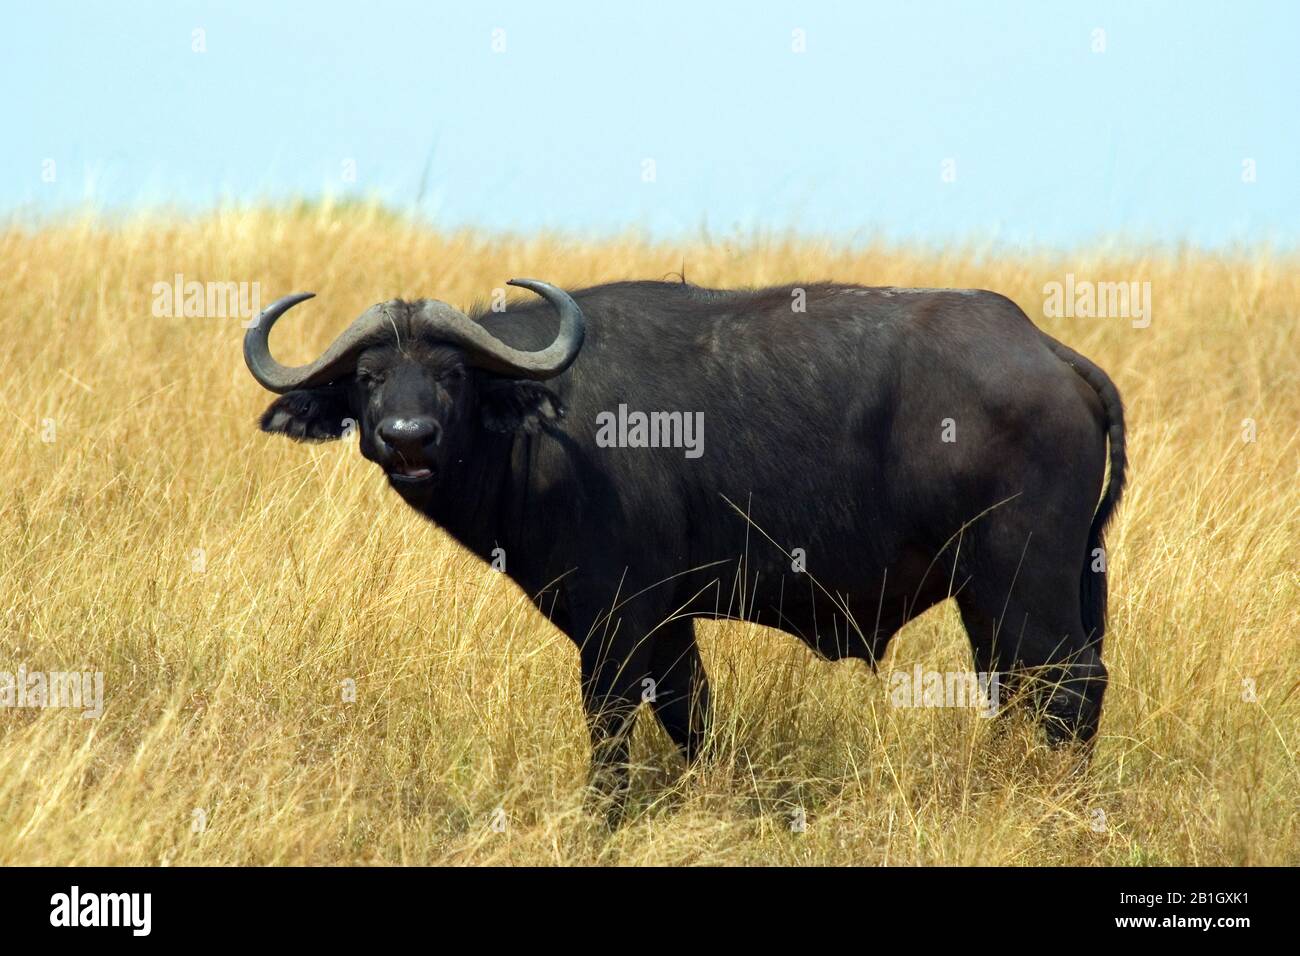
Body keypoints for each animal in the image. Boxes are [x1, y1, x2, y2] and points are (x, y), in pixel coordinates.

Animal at [244, 278, 1125, 813]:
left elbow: (610, 722)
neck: (546, 430)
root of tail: (1047, 351)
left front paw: (601, 818)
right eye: (368, 379)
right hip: (994, 596)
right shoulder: (669, 623)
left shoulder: (616, 616)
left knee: (1069, 688)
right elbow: (691, 714)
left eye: (451, 375)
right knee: (1015, 688)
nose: (407, 438)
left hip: (1026, 582)